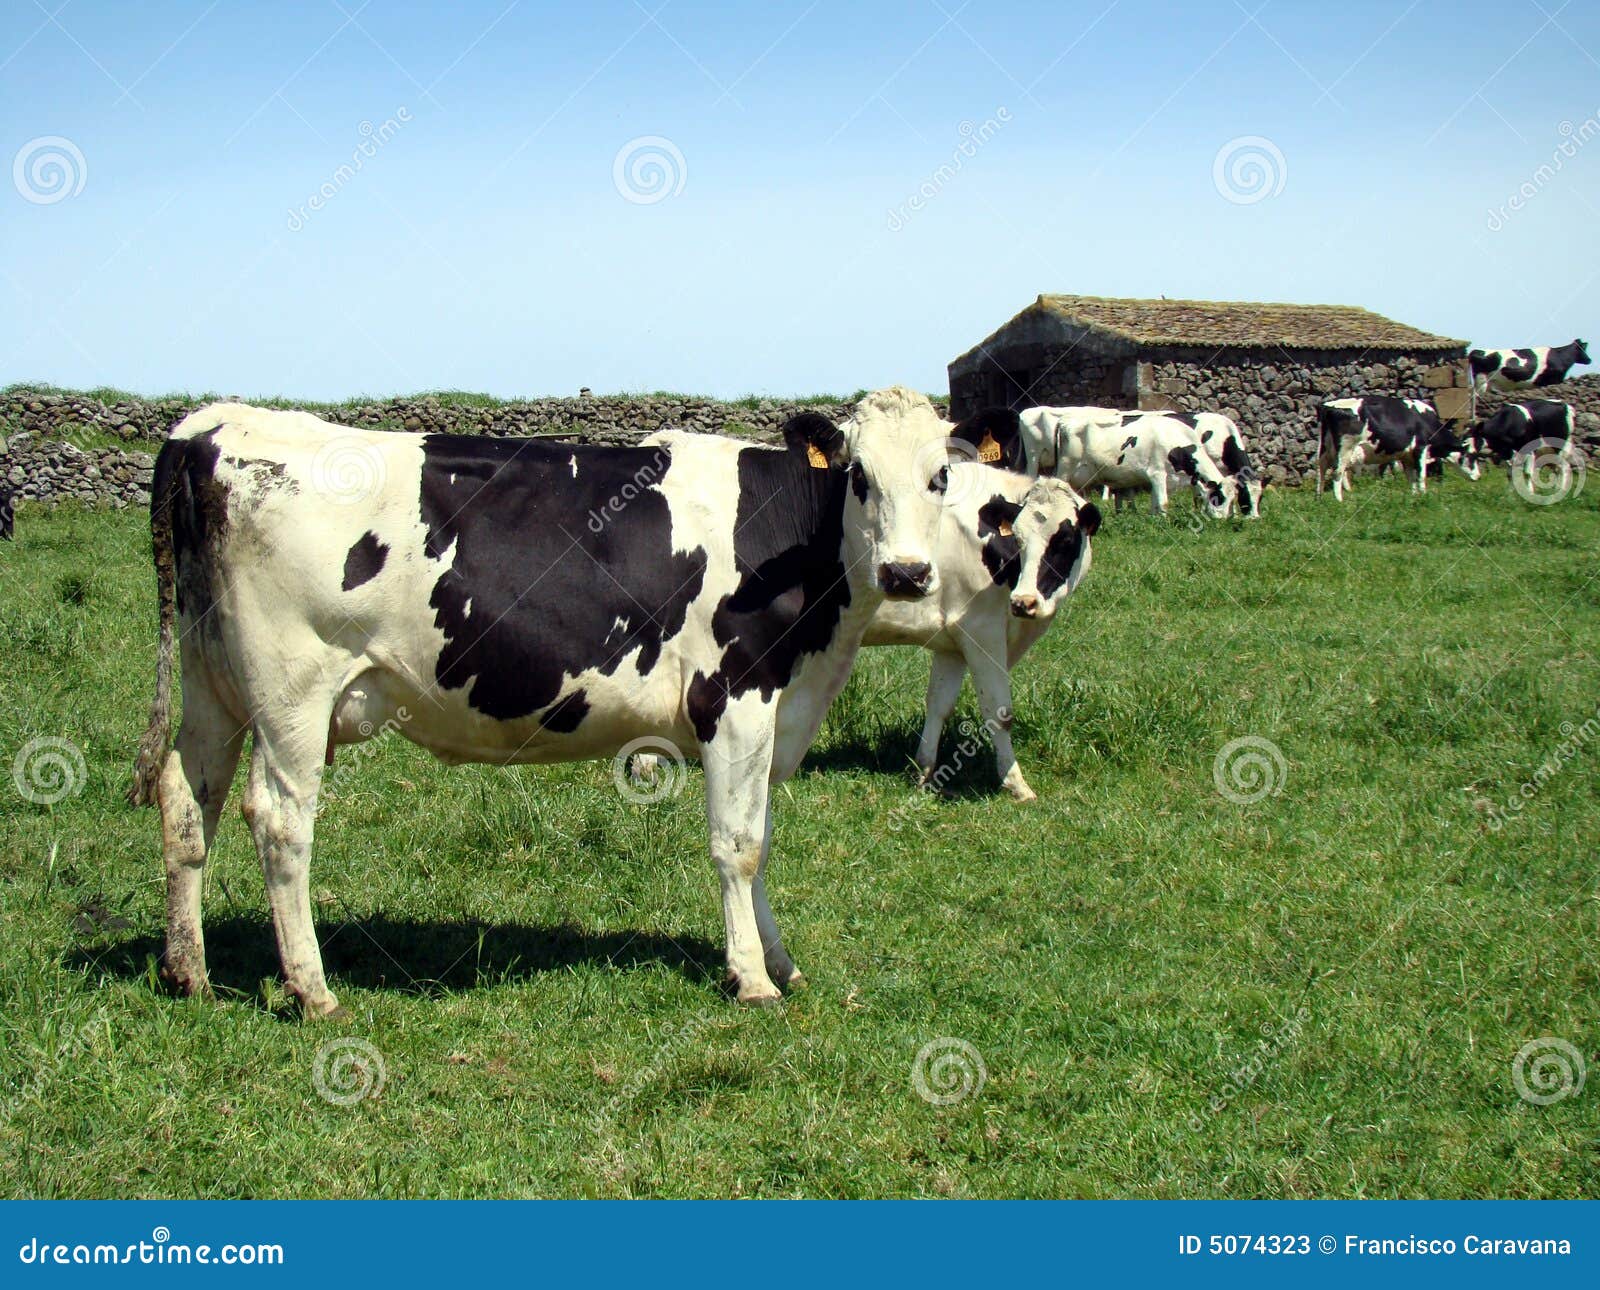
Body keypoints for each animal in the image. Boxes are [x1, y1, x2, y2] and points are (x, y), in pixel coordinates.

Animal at [127, 388, 1020, 1013]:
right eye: (859, 478)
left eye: (940, 476)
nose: (907, 572)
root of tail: (214, 424)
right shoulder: (734, 699)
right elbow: (738, 846)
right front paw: (751, 978)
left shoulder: (773, 713)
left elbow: (760, 842)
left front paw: (778, 961)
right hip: (293, 696)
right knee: (279, 820)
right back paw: (312, 990)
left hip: (214, 686)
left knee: (189, 800)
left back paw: (187, 971)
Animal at [1017, 405, 1232, 518]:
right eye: (1219, 497)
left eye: (1232, 499)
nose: (1221, 520)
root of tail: (1064, 422)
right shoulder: (1157, 473)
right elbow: (1163, 503)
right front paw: (1164, 522)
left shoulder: (1155, 478)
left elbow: (1155, 502)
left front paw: (1153, 520)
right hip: (1062, 467)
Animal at [1316, 396, 1479, 501]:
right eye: (1472, 456)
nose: (1478, 476)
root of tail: (1328, 405)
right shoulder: (1421, 447)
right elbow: (1421, 475)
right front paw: (1424, 495)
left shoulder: (1406, 456)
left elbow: (1410, 476)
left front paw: (1414, 495)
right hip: (1345, 447)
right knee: (1337, 471)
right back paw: (1339, 500)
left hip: (1326, 446)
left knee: (1322, 466)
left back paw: (1320, 495)